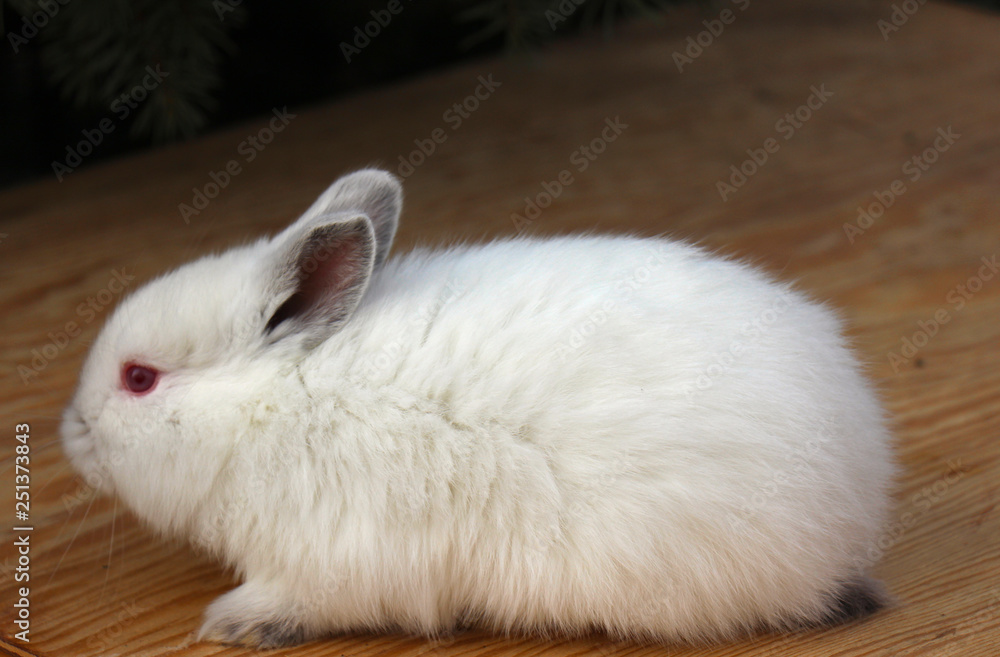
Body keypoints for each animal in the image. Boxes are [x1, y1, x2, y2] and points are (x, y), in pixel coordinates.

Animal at [61, 168, 895, 649]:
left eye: (139, 378)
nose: (71, 434)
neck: (273, 401)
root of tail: (863, 482)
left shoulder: (327, 558)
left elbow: (296, 600)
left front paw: (233, 623)